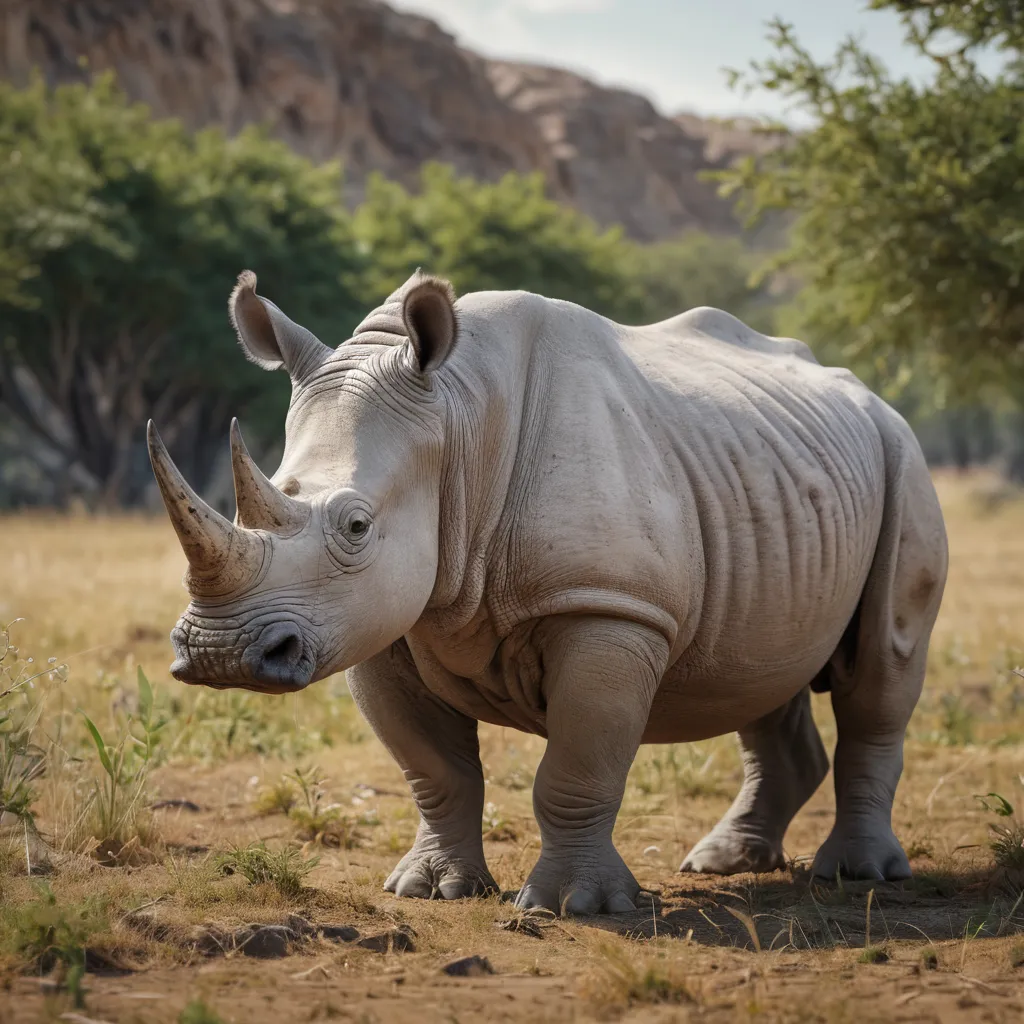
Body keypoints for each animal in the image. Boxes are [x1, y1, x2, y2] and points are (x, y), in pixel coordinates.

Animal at [149, 270, 947, 914]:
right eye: (268, 494)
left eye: (356, 525)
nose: (220, 654)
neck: (458, 421)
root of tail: (870, 395)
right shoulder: (375, 620)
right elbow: (433, 769)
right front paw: (432, 890)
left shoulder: (608, 607)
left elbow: (576, 767)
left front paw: (574, 906)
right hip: (773, 480)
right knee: (758, 670)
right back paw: (724, 863)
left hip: (903, 455)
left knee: (883, 664)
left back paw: (857, 876)